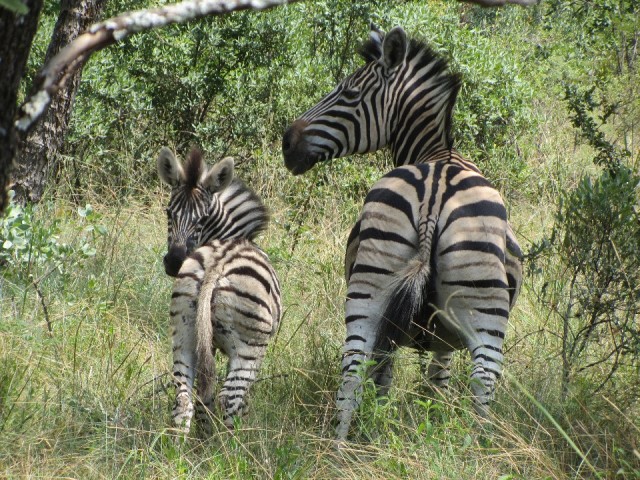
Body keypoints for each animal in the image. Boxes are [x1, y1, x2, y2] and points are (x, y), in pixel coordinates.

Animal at [157, 147, 281, 432]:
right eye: (169, 213)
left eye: (203, 219)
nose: (174, 261)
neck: (231, 238)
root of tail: (217, 263)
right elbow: (239, 400)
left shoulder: (207, 343)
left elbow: (205, 396)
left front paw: (203, 433)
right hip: (249, 347)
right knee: (230, 399)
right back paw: (235, 444)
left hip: (183, 334)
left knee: (183, 400)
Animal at [282, 25, 522, 440]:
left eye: (348, 93)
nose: (286, 143)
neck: (436, 153)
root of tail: (435, 190)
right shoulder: (441, 334)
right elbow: (429, 382)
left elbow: (411, 381)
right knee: (478, 379)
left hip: (386, 287)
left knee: (359, 367)